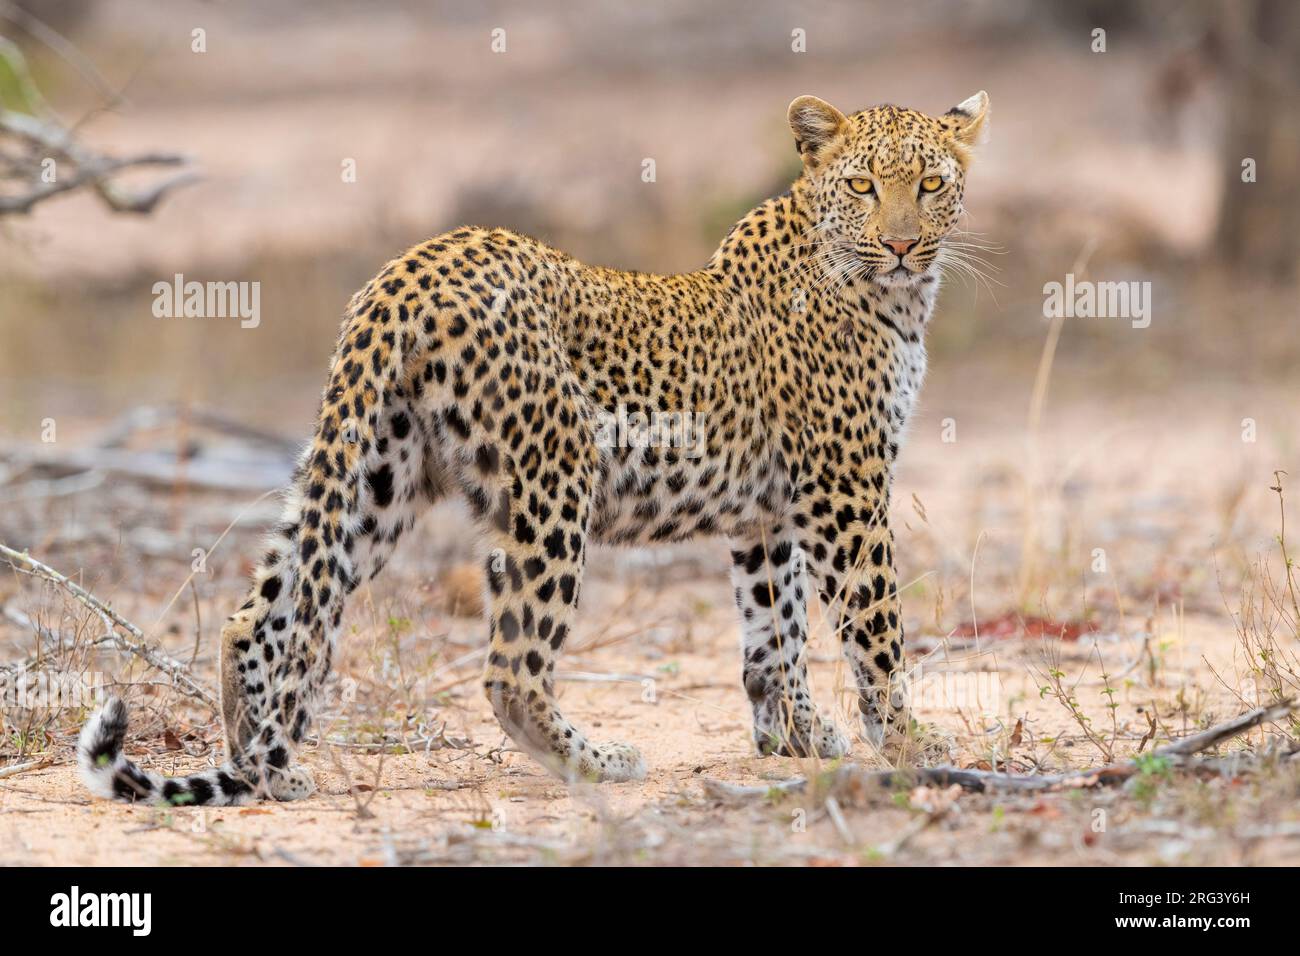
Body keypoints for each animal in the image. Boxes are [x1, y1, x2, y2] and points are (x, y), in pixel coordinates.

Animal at [79, 91, 989, 805]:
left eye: (932, 184)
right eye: (865, 185)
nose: (902, 244)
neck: (894, 296)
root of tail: (404, 272)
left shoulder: (766, 513)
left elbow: (776, 630)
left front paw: (797, 739)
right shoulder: (846, 493)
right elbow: (875, 629)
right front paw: (909, 744)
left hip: (378, 477)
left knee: (258, 614)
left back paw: (263, 768)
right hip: (556, 475)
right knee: (511, 668)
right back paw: (600, 762)